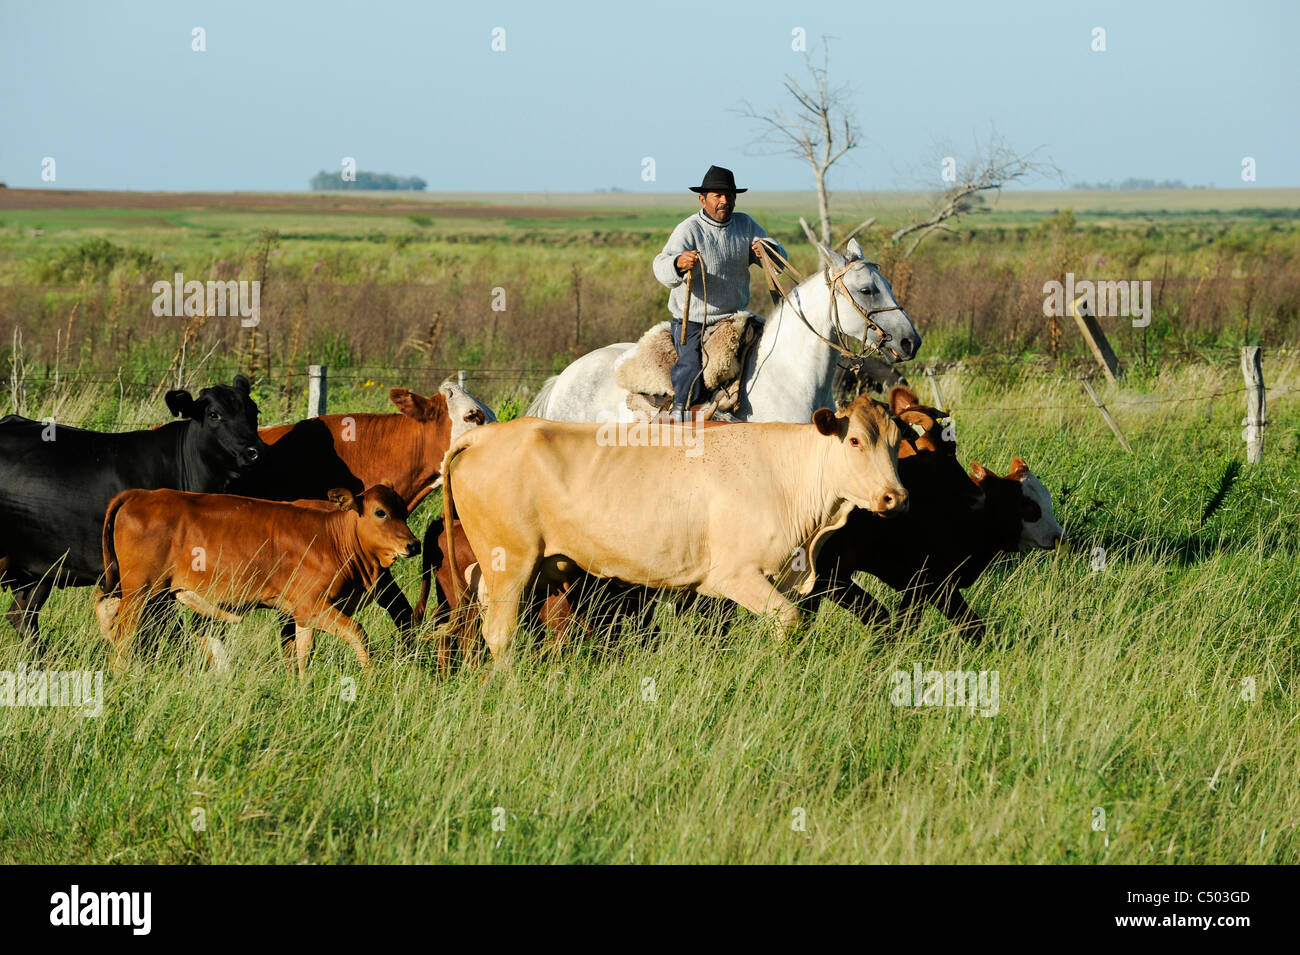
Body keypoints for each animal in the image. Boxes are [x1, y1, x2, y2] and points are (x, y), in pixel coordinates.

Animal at [96, 484, 419, 675]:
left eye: (404, 512)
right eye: (380, 512)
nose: (413, 545)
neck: (333, 538)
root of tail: (140, 494)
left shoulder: (303, 615)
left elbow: (302, 654)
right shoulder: (314, 606)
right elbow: (358, 633)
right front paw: (370, 680)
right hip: (139, 594)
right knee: (124, 639)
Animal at [441, 395, 908, 661]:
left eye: (895, 441)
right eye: (855, 441)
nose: (895, 497)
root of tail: (487, 436)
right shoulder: (735, 575)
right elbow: (788, 621)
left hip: (514, 565)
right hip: (511, 563)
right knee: (500, 632)